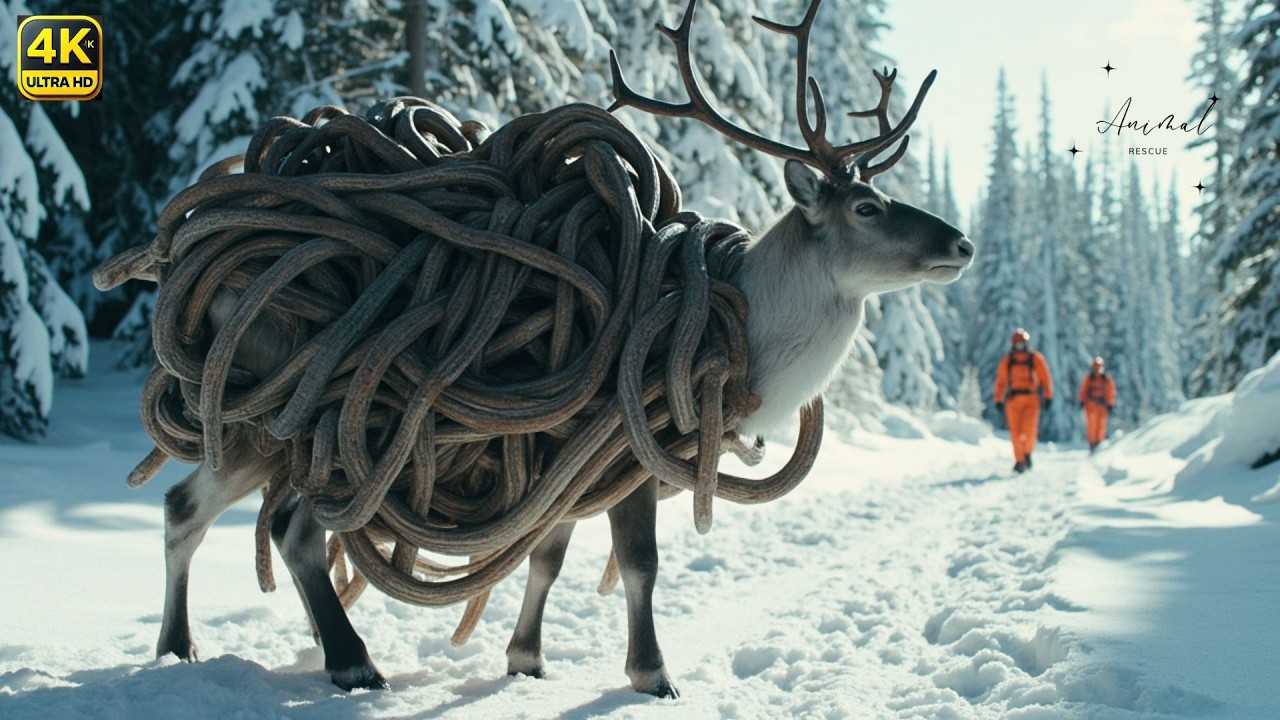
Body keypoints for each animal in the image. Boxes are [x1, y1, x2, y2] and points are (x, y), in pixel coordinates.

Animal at [150, 0, 971, 700]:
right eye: (867, 207)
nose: (961, 243)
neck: (747, 346)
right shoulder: (623, 445)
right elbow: (640, 565)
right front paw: (653, 674)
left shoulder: (567, 464)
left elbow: (546, 556)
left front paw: (526, 658)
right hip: (308, 418)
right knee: (292, 530)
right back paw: (350, 661)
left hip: (254, 420)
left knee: (190, 504)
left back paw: (183, 645)